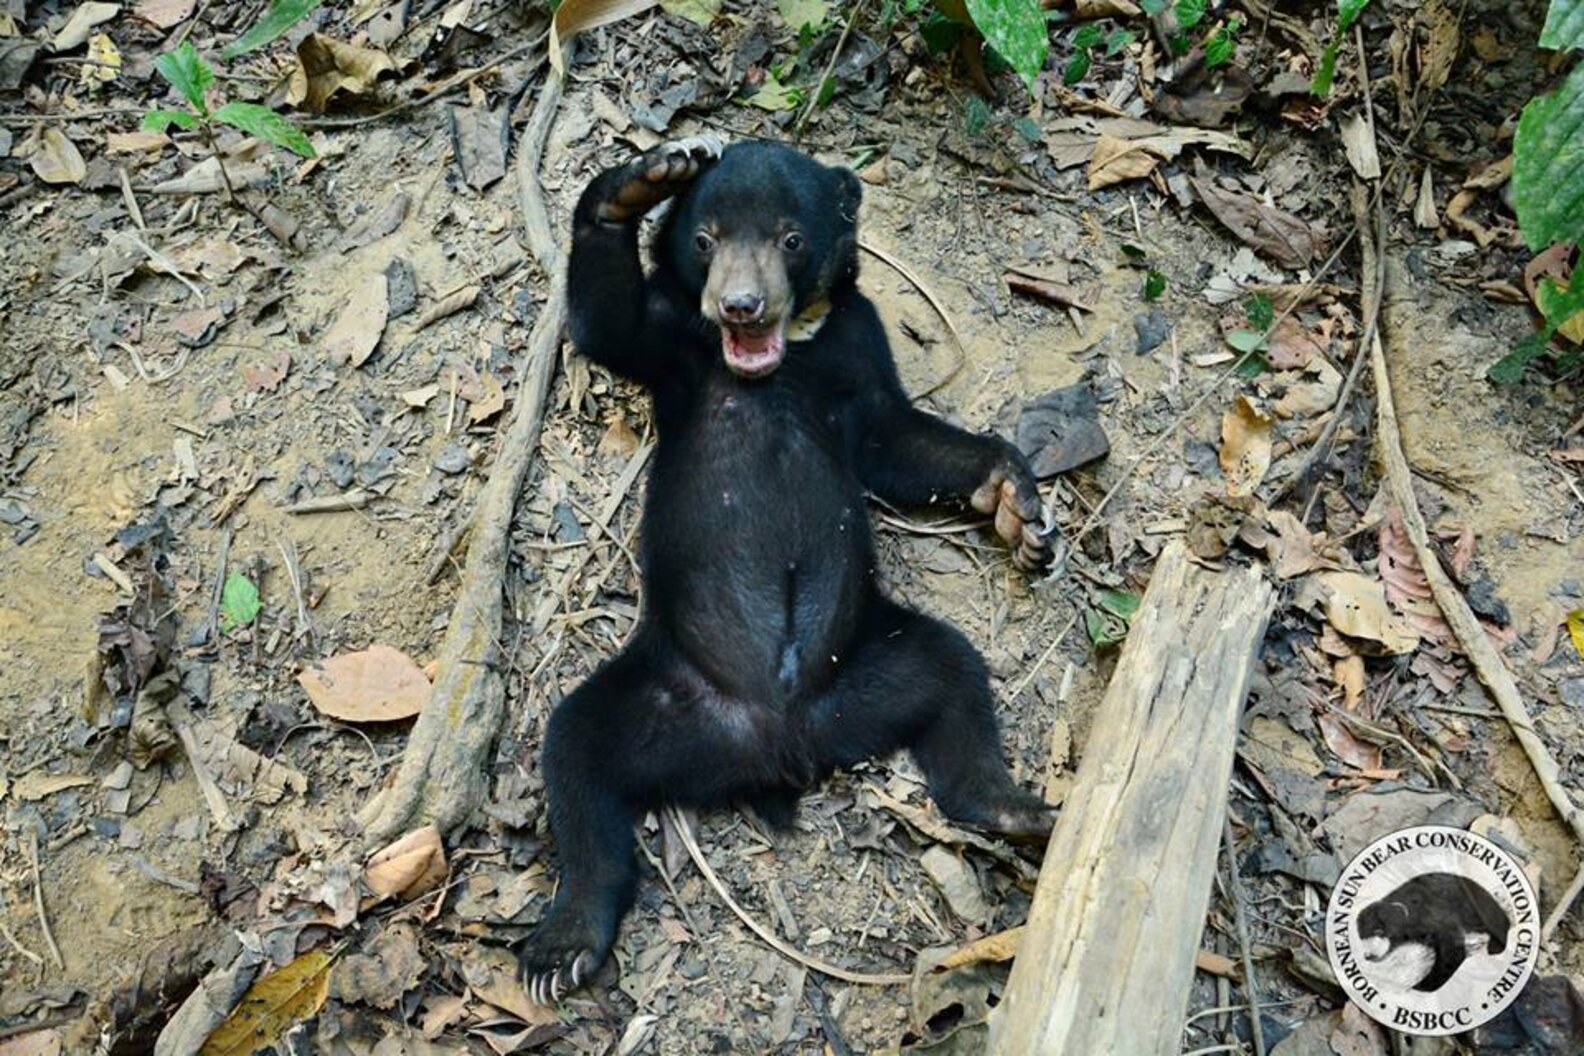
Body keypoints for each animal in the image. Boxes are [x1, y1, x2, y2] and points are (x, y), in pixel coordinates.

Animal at [513, 137, 1057, 1002]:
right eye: (705, 241)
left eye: (790, 239)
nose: (741, 305)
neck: (785, 356)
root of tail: (780, 746)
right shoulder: (672, 340)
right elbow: (608, 322)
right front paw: (645, 175)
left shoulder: (860, 346)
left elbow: (897, 441)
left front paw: (1017, 506)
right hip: (668, 692)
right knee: (577, 757)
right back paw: (560, 948)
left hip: (873, 664)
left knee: (955, 683)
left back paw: (1017, 810)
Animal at [1356, 872, 1512, 992]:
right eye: (1362, 937)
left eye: (1379, 931)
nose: (1369, 955)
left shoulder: (1436, 915)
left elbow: (1451, 949)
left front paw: (1421, 986)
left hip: (1476, 904)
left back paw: (1495, 946)